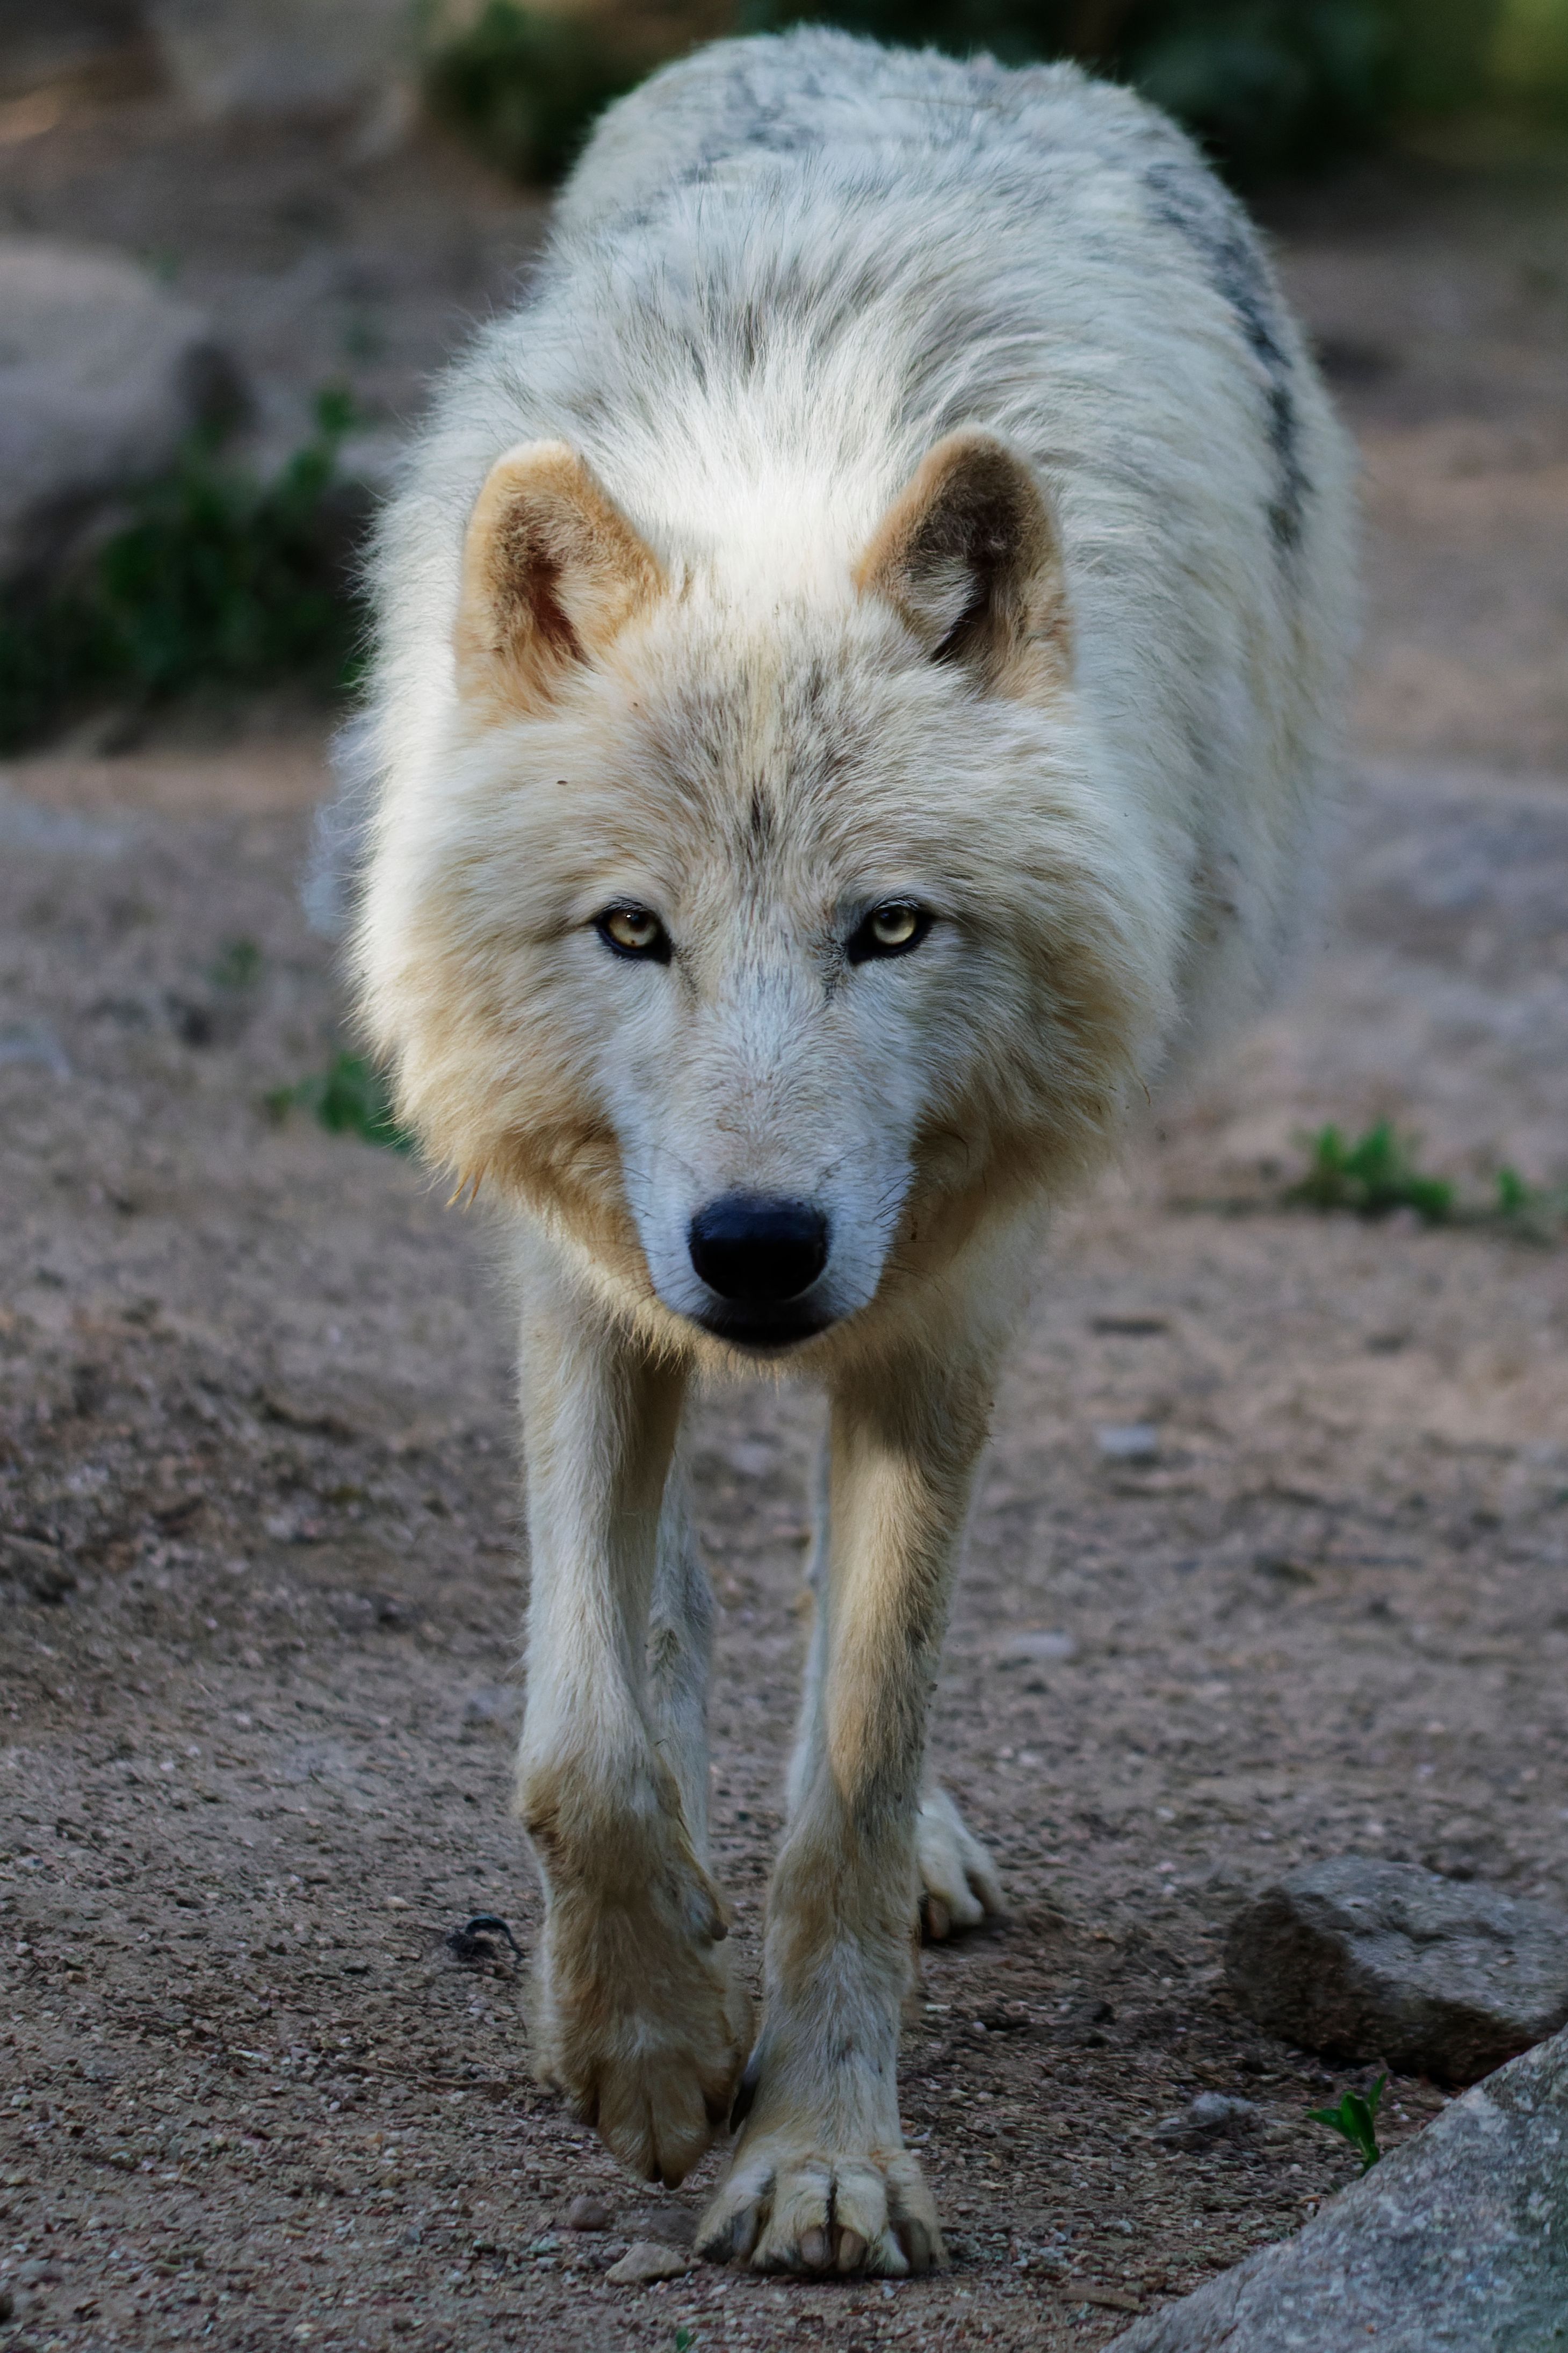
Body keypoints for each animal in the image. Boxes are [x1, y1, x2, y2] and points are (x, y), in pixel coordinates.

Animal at [354, 27, 1354, 2276]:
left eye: (887, 929)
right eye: (632, 931)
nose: (756, 1245)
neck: (785, 477)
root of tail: (943, 56)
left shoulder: (941, 1306)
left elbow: (859, 1778)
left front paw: (818, 2152)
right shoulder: (583, 1276)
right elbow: (580, 1740)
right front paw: (642, 2039)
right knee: (676, 1603)